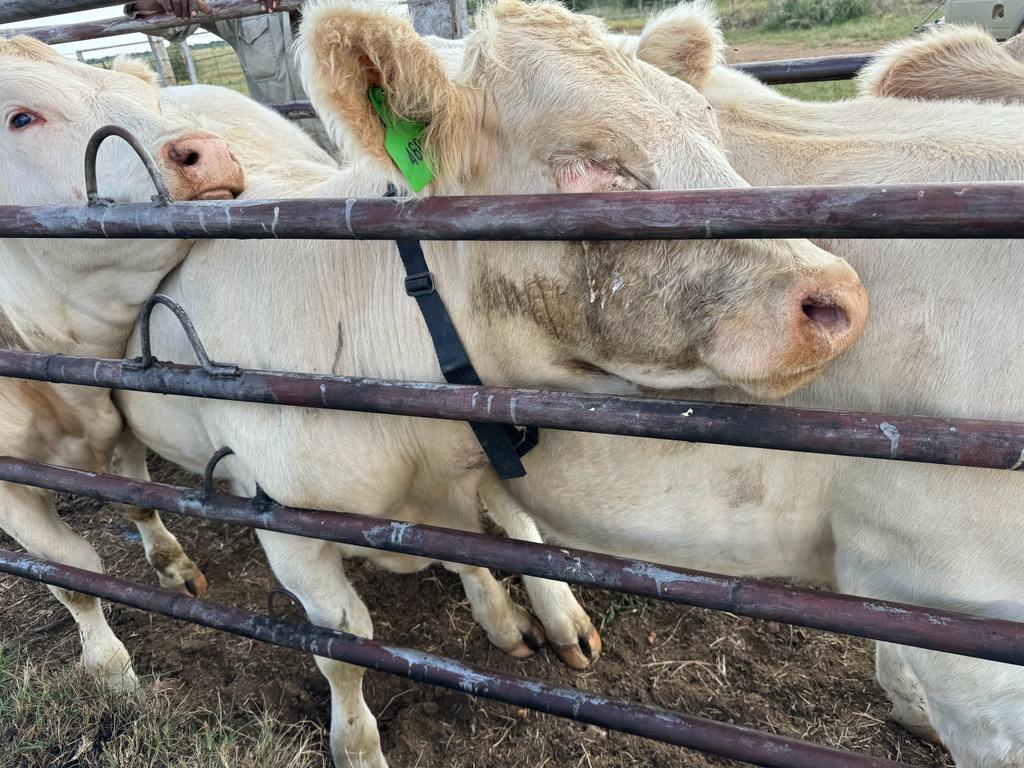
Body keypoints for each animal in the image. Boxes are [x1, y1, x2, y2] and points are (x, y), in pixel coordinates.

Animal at [0, 38, 247, 689]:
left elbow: (138, 499)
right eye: (20, 117)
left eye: (149, 97)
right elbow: (70, 571)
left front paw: (174, 566)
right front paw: (110, 667)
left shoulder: (120, 419)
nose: (211, 152)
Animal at [114, 1, 868, 764]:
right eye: (590, 158)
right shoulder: (287, 529)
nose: (837, 297)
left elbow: (495, 542)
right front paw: (357, 744)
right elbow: (344, 649)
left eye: (709, 129)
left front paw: (531, 622)